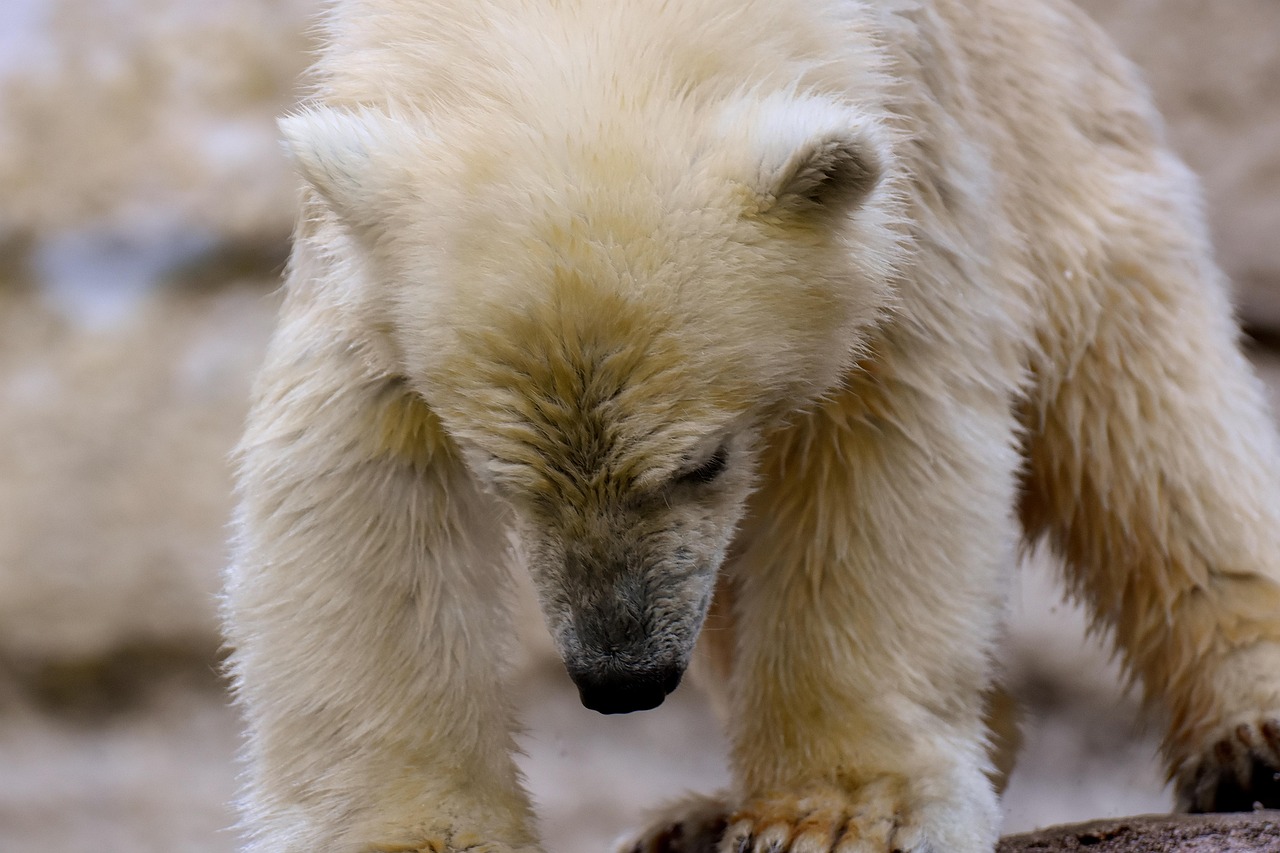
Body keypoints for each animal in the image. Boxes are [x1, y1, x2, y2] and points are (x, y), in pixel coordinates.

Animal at [222, 0, 1280, 850]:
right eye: (504, 478)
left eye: (704, 458)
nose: (623, 678)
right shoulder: (357, 268)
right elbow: (357, 493)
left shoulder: (907, 180)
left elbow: (882, 452)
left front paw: (837, 816)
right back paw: (692, 820)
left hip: (1065, 142)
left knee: (1146, 416)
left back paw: (1253, 742)